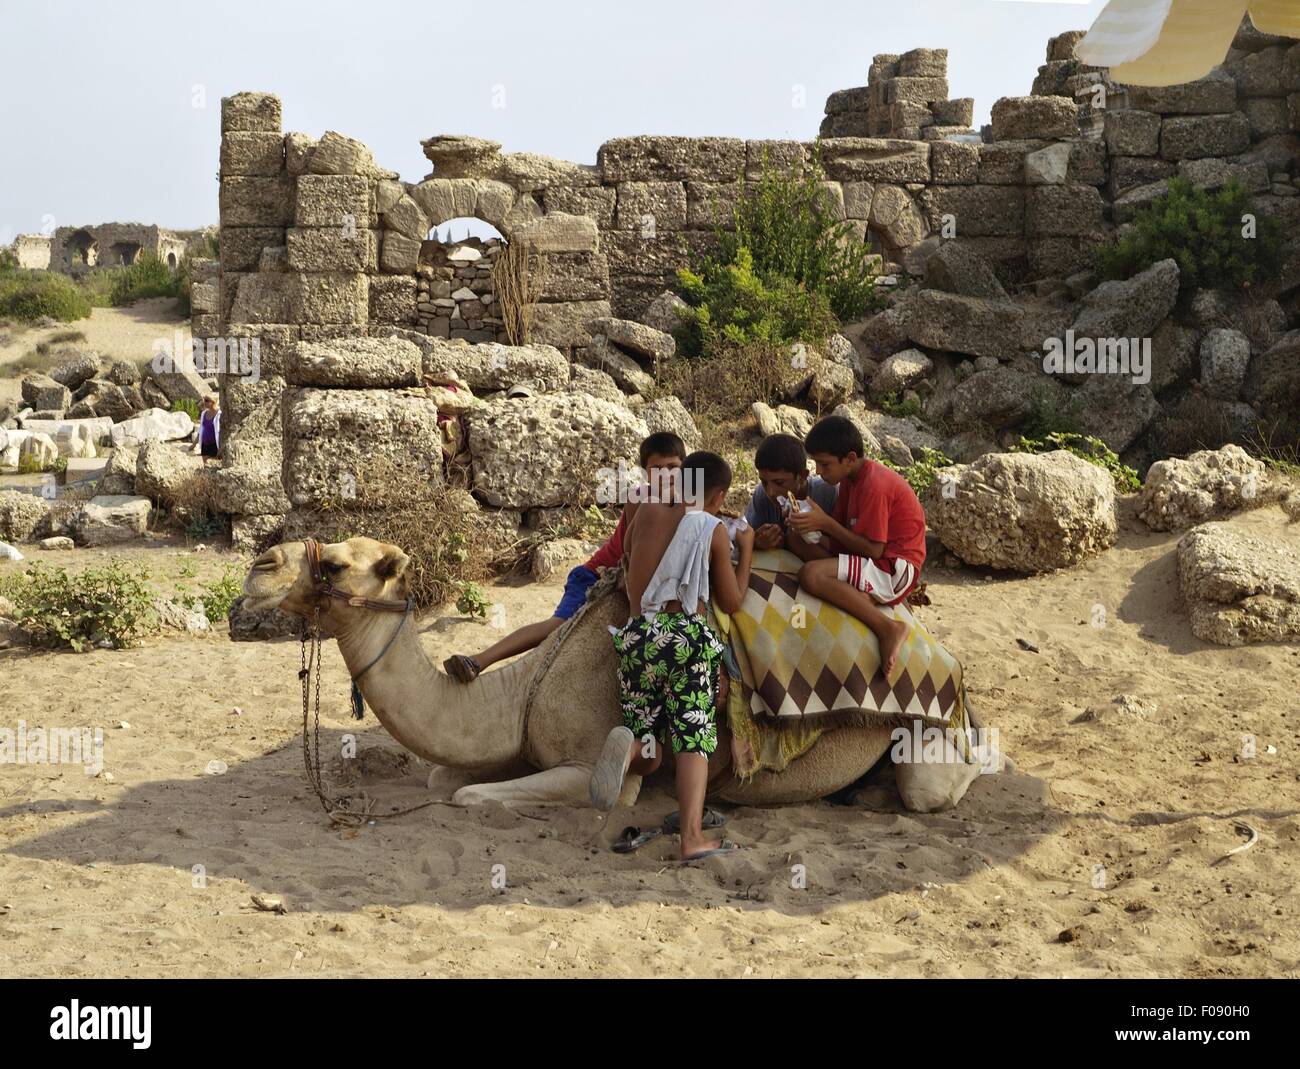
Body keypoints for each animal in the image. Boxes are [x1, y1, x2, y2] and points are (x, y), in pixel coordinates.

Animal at [241, 537, 984, 812]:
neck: (518, 697)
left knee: (936, 781)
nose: (258, 567)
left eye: (334, 564)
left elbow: (471, 797)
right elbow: (440, 778)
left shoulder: (595, 767)